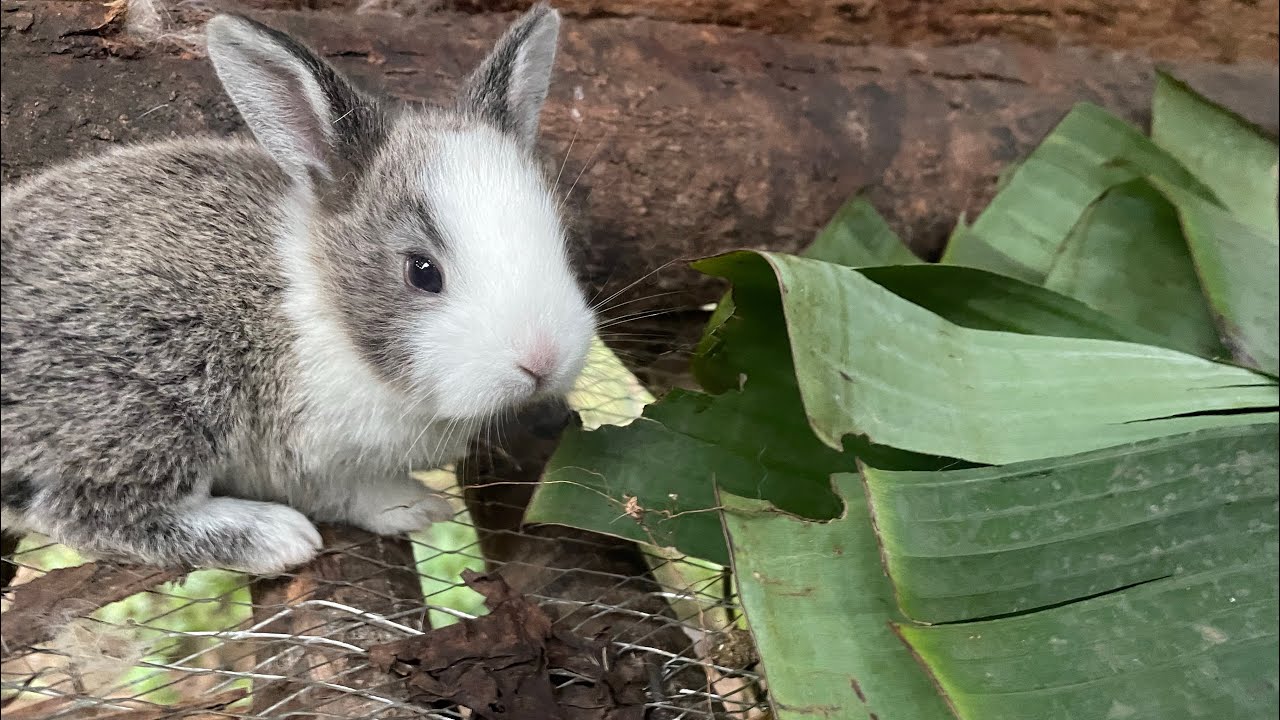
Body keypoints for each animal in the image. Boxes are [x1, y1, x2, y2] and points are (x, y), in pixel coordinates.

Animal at [0, 3, 595, 576]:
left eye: (559, 238)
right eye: (422, 271)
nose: (542, 361)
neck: (324, 303)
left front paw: (417, 507)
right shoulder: (303, 455)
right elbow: (348, 493)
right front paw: (412, 508)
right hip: (155, 398)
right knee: (86, 509)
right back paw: (271, 536)